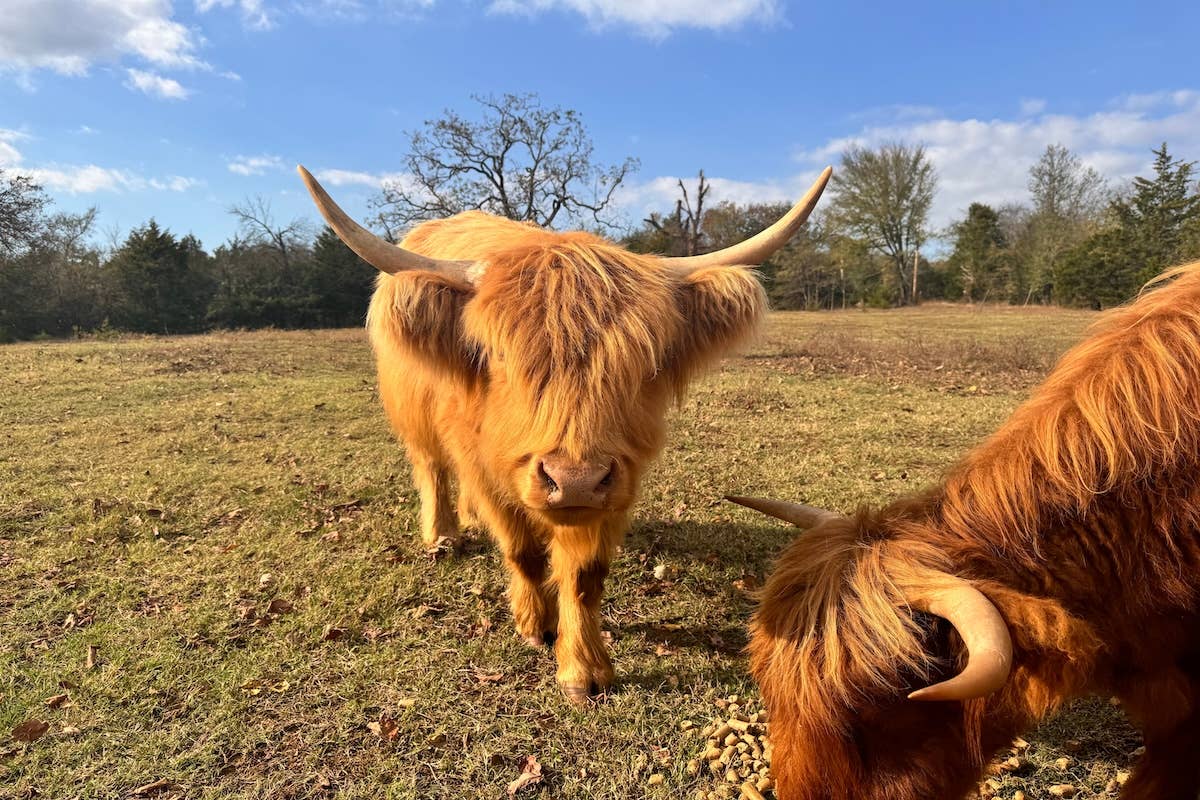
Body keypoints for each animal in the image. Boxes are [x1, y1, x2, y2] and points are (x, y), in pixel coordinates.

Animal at [297, 165, 831, 701]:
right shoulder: (486, 467)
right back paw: (444, 534)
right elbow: (524, 552)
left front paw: (583, 669)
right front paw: (536, 625)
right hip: (416, 418)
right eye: (499, 355)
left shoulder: (616, 483)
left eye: (647, 363)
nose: (573, 481)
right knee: (430, 466)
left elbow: (584, 576)